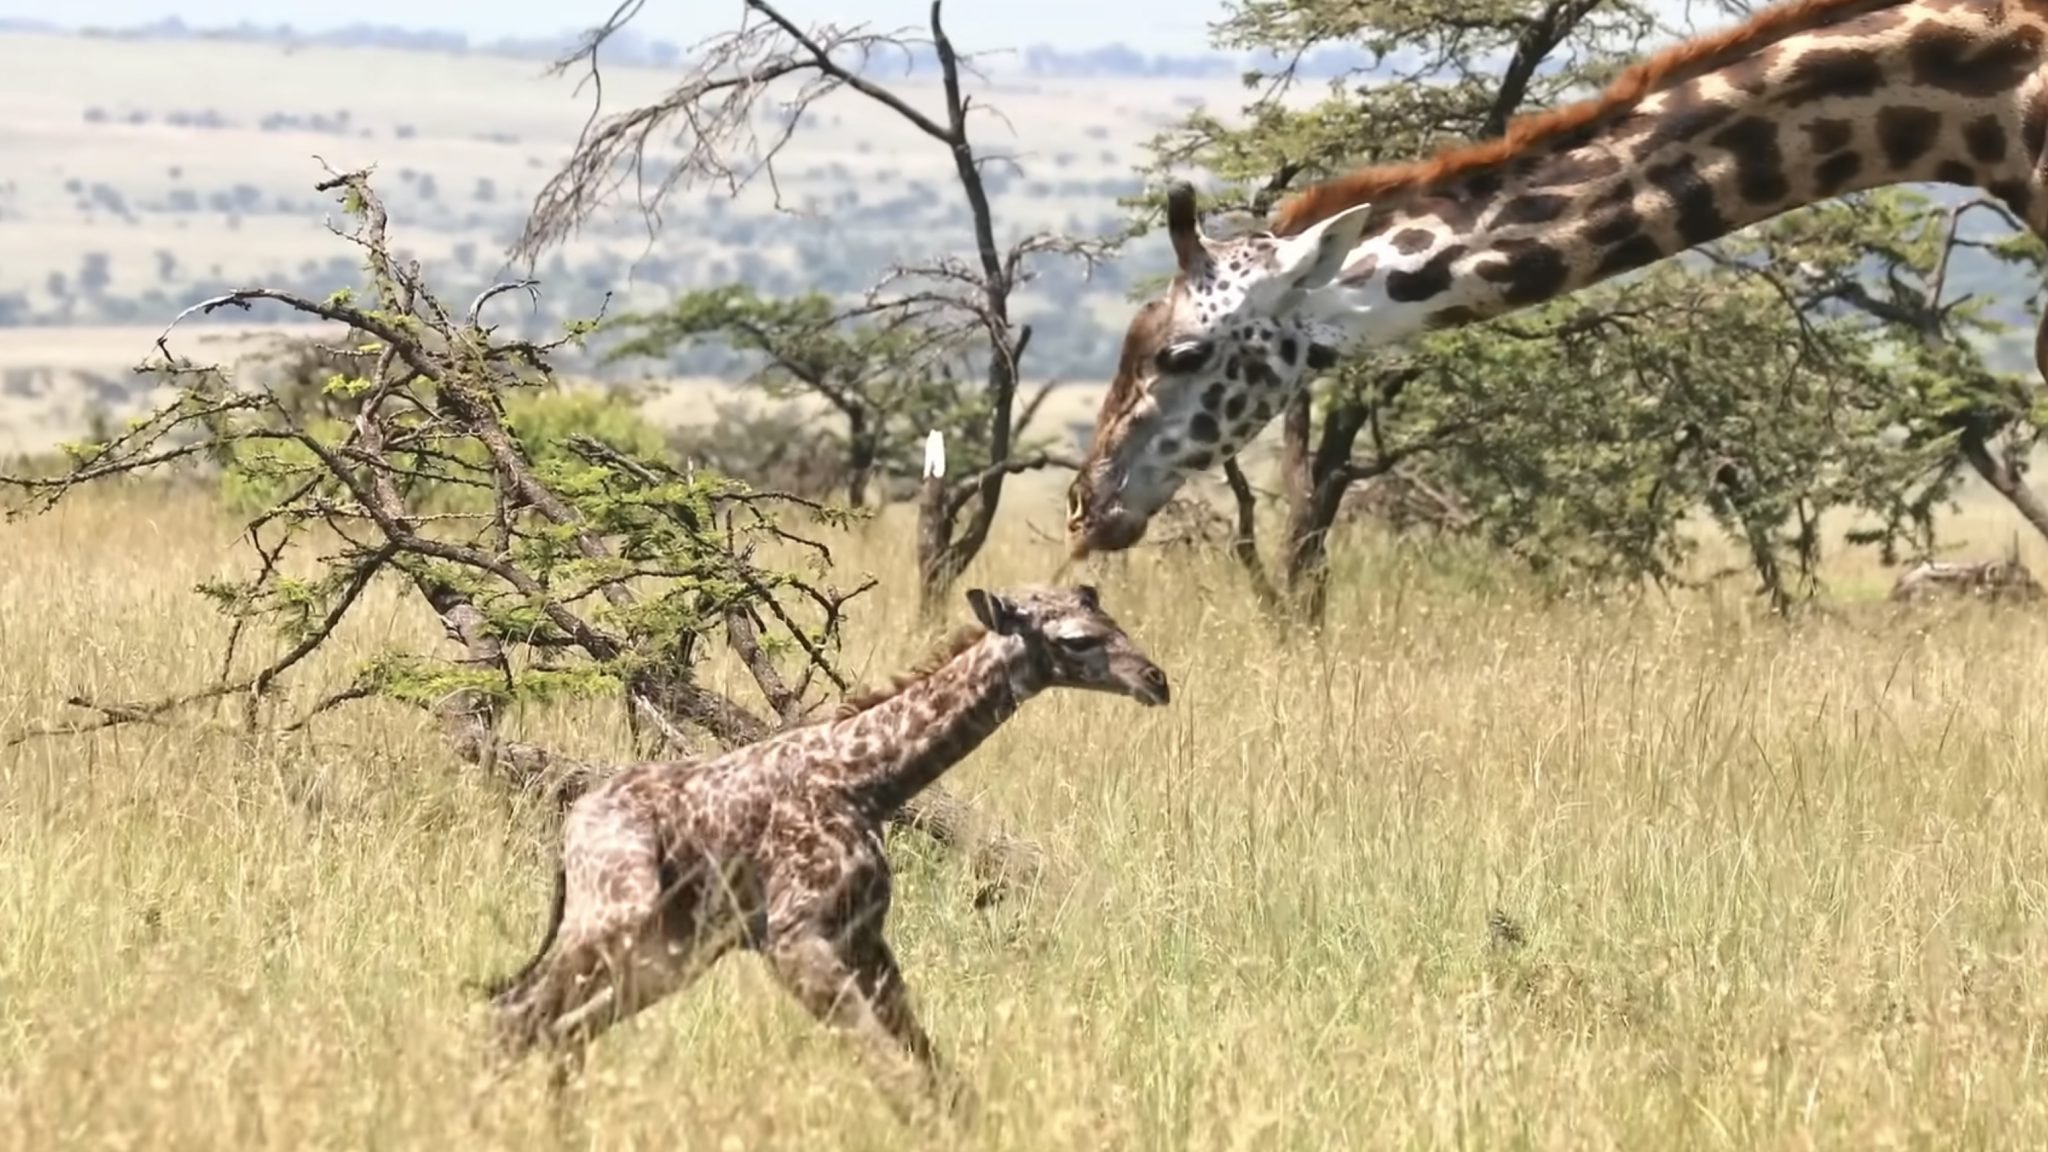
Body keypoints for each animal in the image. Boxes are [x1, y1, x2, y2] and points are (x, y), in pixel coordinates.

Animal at [479, 582, 1170, 1122]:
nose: (1156, 680)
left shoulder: (862, 936)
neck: (868, 781)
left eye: (1111, 617)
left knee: (559, 1029)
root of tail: (574, 827)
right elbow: (883, 1063)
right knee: (518, 1017)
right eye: (1077, 640)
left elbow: (933, 1068)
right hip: (613, 916)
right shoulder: (793, 938)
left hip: (668, 952)